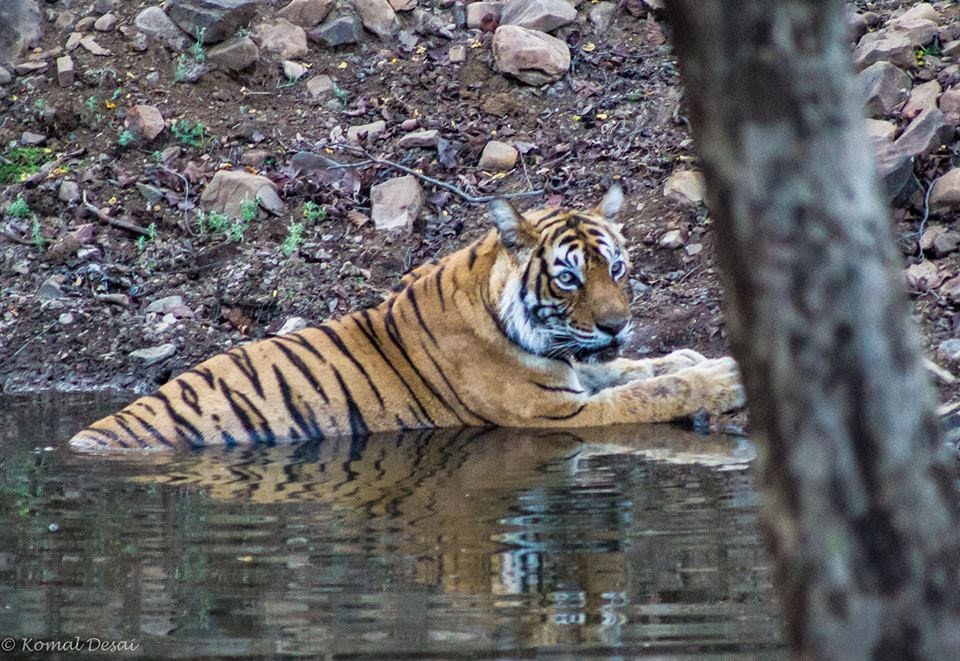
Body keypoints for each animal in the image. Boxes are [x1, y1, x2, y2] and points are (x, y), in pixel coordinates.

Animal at [68, 185, 744, 452]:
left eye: (619, 268)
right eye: (570, 277)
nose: (614, 325)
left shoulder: (571, 373)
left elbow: (632, 370)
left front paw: (690, 355)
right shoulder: (553, 415)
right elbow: (648, 395)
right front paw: (722, 377)